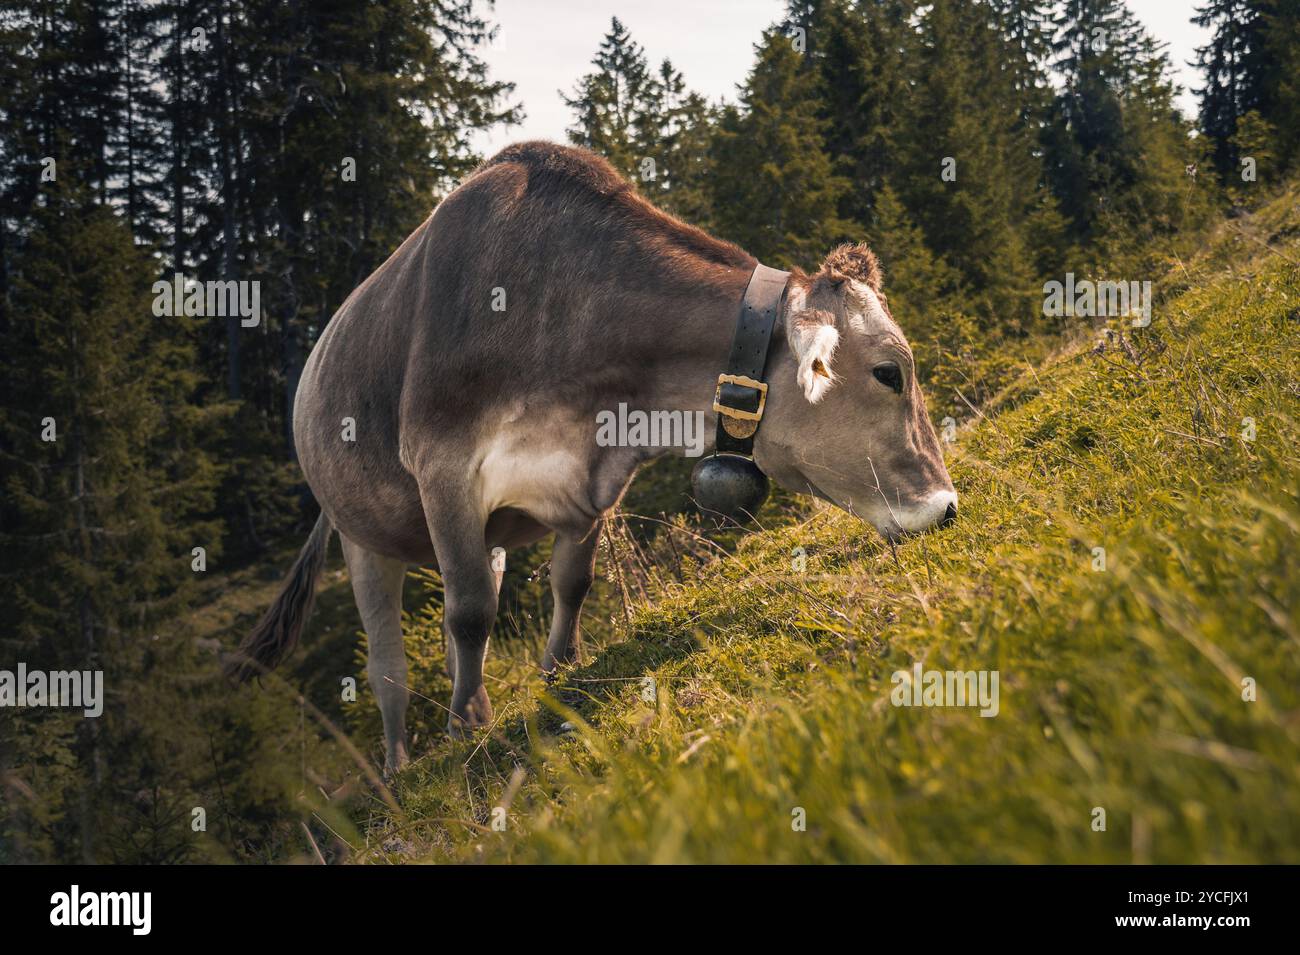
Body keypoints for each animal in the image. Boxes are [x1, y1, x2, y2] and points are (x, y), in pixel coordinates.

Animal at [230, 141, 957, 775]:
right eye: (889, 372)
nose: (946, 508)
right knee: (390, 666)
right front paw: (466, 726)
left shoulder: (593, 477)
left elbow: (568, 582)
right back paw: (401, 764)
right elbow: (470, 610)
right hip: (360, 536)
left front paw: (558, 672)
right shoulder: (442, 467)